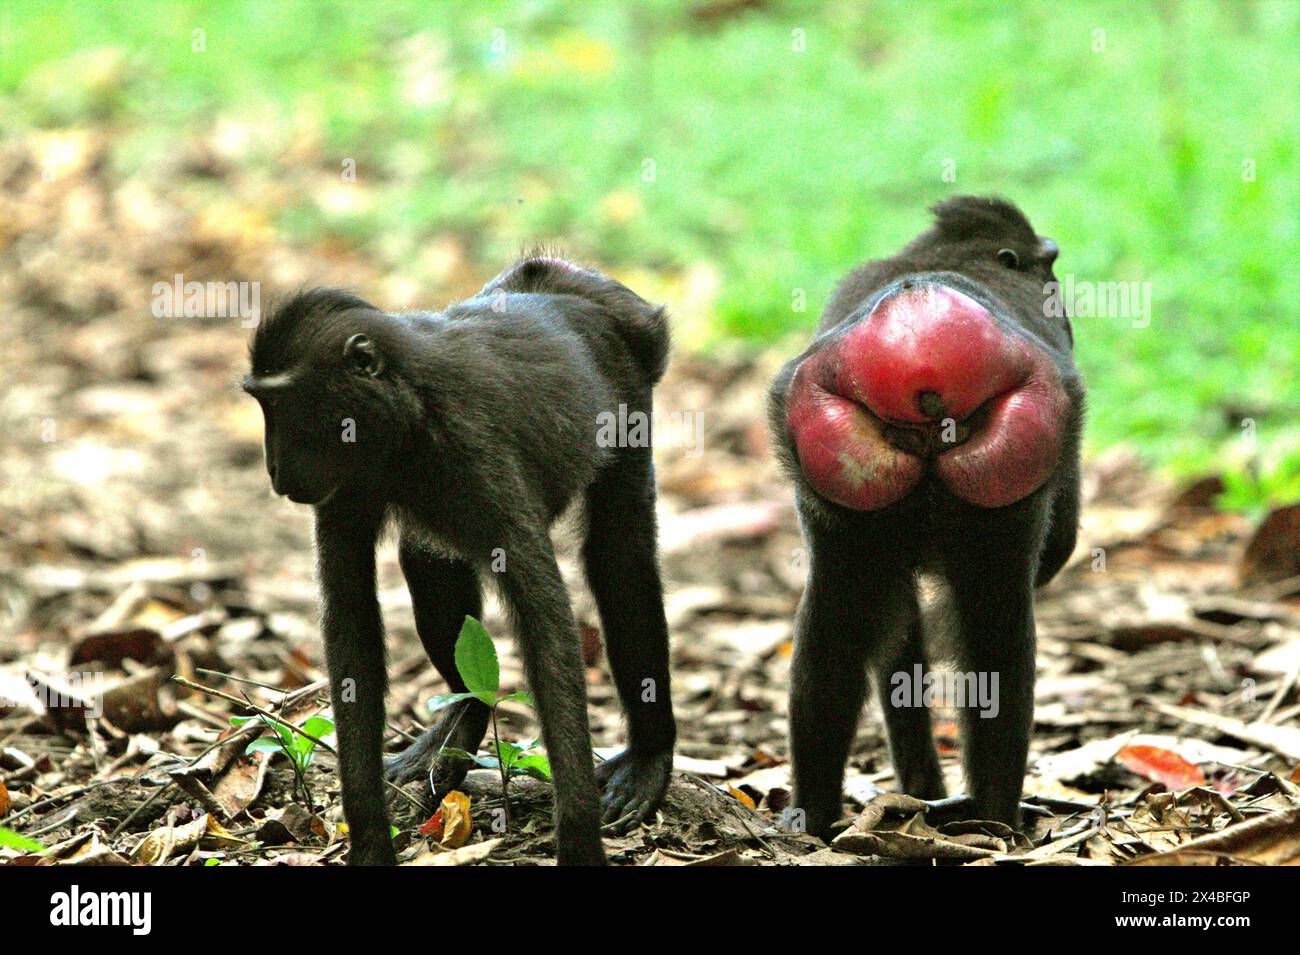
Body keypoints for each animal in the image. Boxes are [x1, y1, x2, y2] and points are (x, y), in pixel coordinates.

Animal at [243, 257, 678, 865]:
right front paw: (370, 843)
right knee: (428, 557)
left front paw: (579, 840)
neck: (406, 413)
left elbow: (546, 625)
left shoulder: (474, 449)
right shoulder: (348, 478)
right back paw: (458, 729)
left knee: (620, 557)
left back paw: (648, 756)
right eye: (263, 405)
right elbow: (352, 622)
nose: (273, 469)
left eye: (283, 406)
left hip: (630, 397)